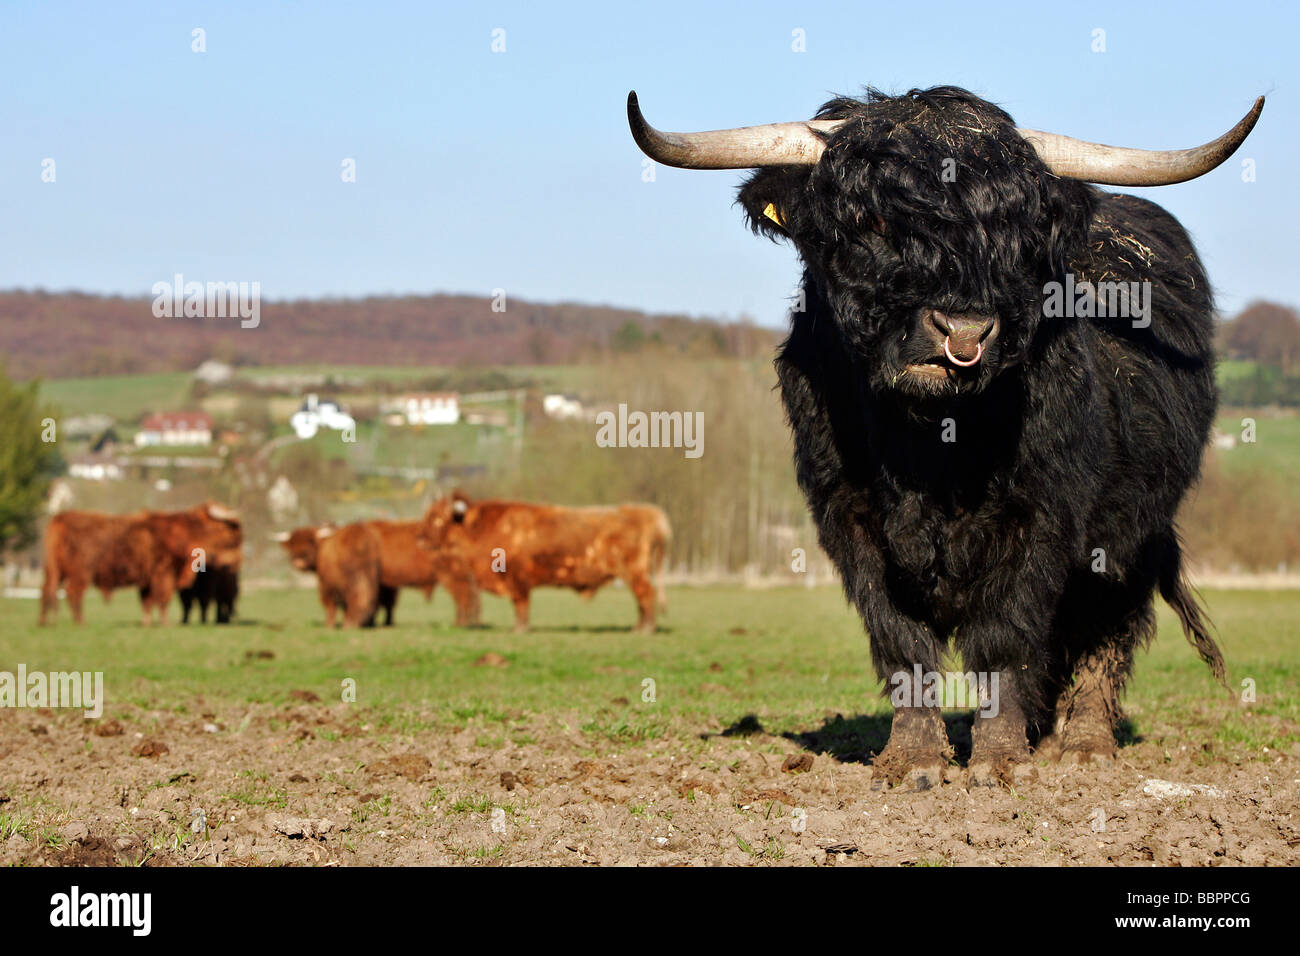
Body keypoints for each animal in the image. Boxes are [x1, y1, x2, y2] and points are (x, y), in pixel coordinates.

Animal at [39, 502, 243, 625]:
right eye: (233, 526)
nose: (241, 535)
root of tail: (60, 518)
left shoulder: (148, 579)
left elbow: (147, 601)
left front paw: (147, 623)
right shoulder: (164, 573)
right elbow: (162, 599)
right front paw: (165, 624)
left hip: (55, 570)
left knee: (47, 591)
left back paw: (44, 623)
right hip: (80, 572)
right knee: (73, 593)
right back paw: (81, 622)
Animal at [419, 492, 671, 632]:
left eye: (437, 518)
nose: (419, 538)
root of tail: (647, 512)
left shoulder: (517, 577)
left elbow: (521, 604)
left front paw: (520, 629)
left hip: (635, 573)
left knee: (646, 596)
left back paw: (644, 629)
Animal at [628, 86, 1262, 787]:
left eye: (1015, 238)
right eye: (872, 224)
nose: (963, 330)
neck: (930, 453)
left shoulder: (1041, 517)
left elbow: (1007, 638)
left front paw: (999, 761)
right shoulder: (850, 518)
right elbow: (901, 641)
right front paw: (912, 761)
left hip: (1133, 532)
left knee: (1107, 629)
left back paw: (1084, 748)